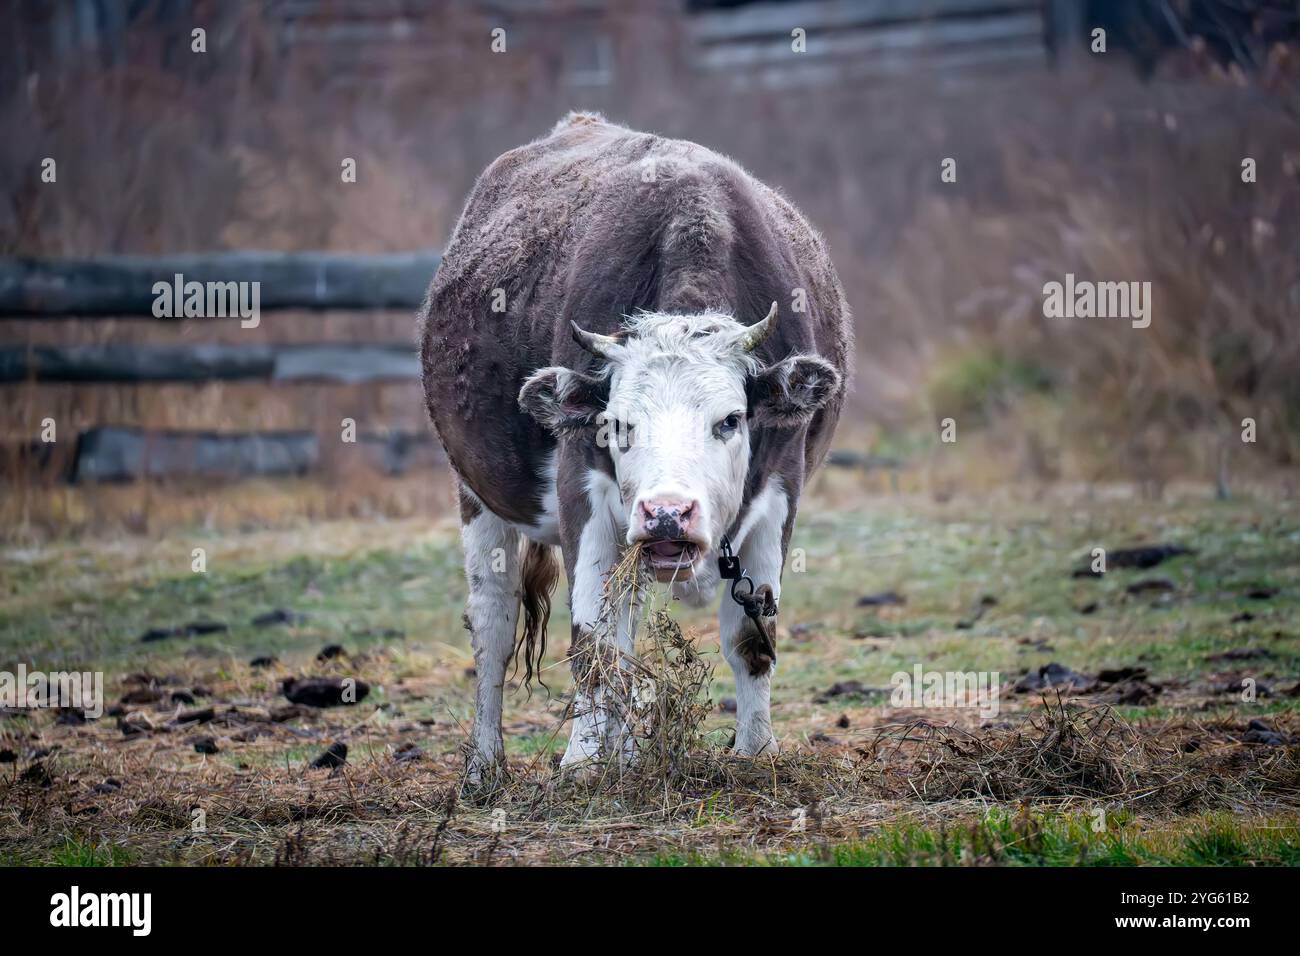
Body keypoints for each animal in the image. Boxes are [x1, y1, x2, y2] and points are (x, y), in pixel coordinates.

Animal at [419, 112, 851, 783]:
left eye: (731, 420)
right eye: (618, 425)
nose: (668, 512)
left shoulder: (782, 490)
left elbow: (751, 640)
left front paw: (756, 752)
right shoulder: (584, 494)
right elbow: (594, 643)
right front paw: (582, 765)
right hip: (476, 493)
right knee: (493, 624)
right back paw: (484, 768)